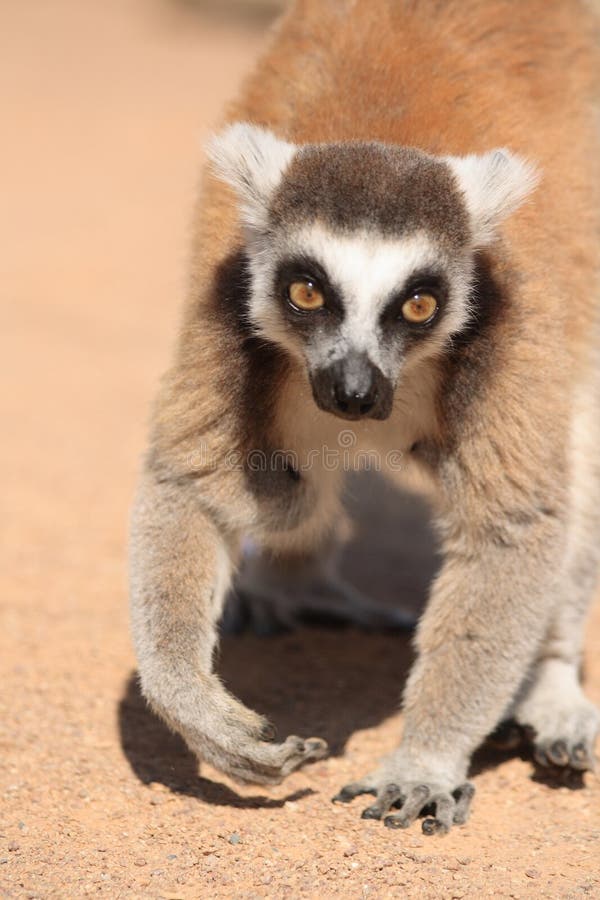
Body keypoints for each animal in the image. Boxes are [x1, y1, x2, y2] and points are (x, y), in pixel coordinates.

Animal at [129, 0, 600, 834]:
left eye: (418, 305)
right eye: (306, 292)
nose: (353, 391)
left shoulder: (512, 324)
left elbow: (512, 526)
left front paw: (424, 762)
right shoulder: (227, 305)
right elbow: (190, 483)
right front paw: (201, 715)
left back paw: (550, 686)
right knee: (286, 483)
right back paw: (295, 585)